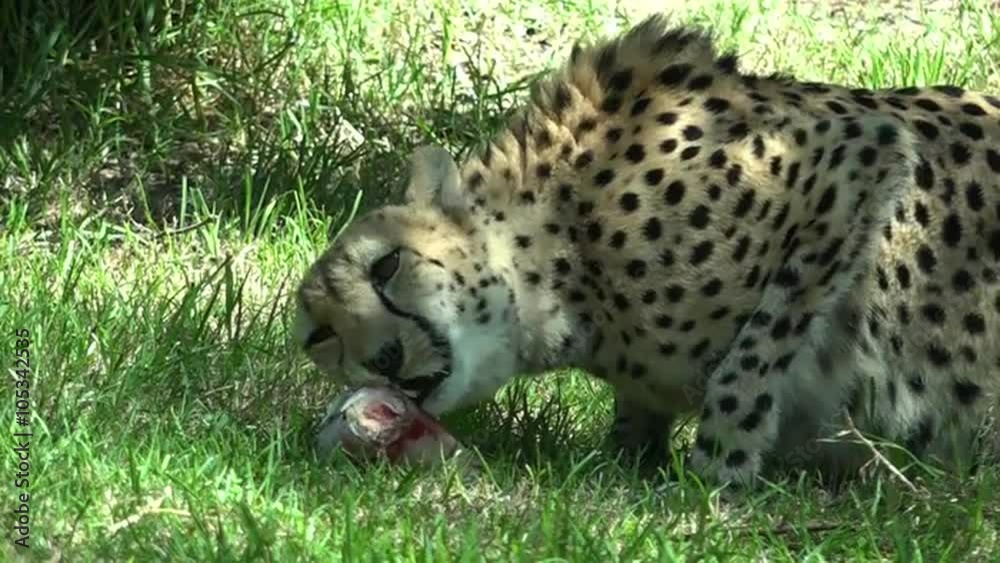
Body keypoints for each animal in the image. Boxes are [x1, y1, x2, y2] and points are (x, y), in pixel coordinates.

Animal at [294, 14, 1000, 486]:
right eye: (319, 335)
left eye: (388, 265)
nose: (383, 358)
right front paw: (634, 456)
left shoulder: (854, 159)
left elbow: (751, 360)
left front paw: (716, 474)